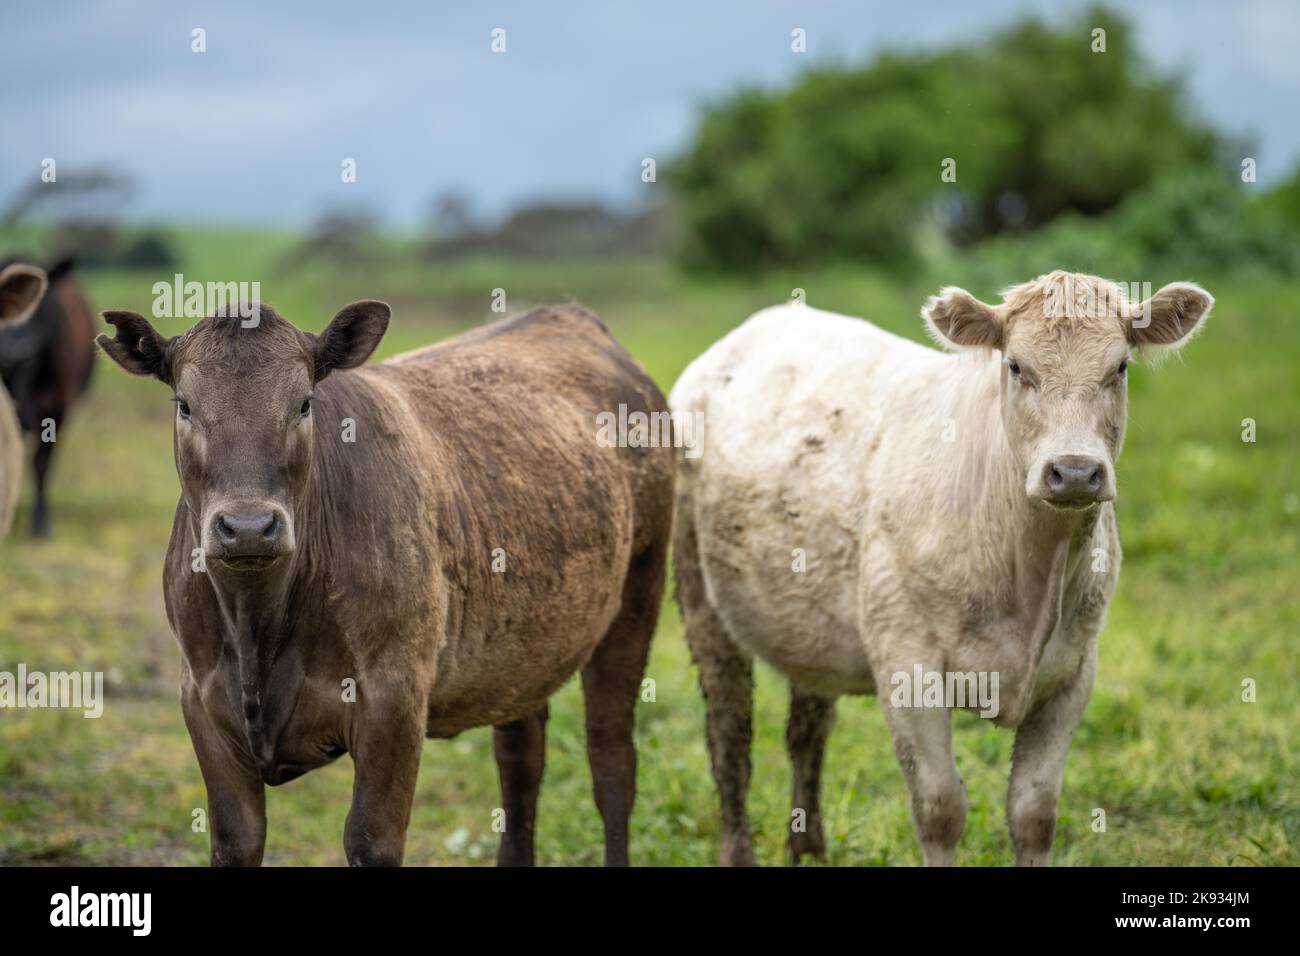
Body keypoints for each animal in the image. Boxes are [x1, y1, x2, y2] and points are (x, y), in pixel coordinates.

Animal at [96, 299, 674, 866]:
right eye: (184, 405)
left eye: (304, 403)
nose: (248, 527)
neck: (257, 623)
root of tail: (567, 314)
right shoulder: (202, 701)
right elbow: (237, 840)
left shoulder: (394, 699)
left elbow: (371, 839)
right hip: (522, 652)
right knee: (519, 764)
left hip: (638, 595)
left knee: (611, 763)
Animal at [670, 272, 1212, 866]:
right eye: (1016, 366)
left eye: (1119, 367)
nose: (1073, 472)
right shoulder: (908, 665)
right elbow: (940, 808)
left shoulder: (1074, 671)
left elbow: (1034, 813)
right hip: (699, 592)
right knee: (730, 737)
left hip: (808, 621)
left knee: (806, 730)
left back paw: (809, 849)